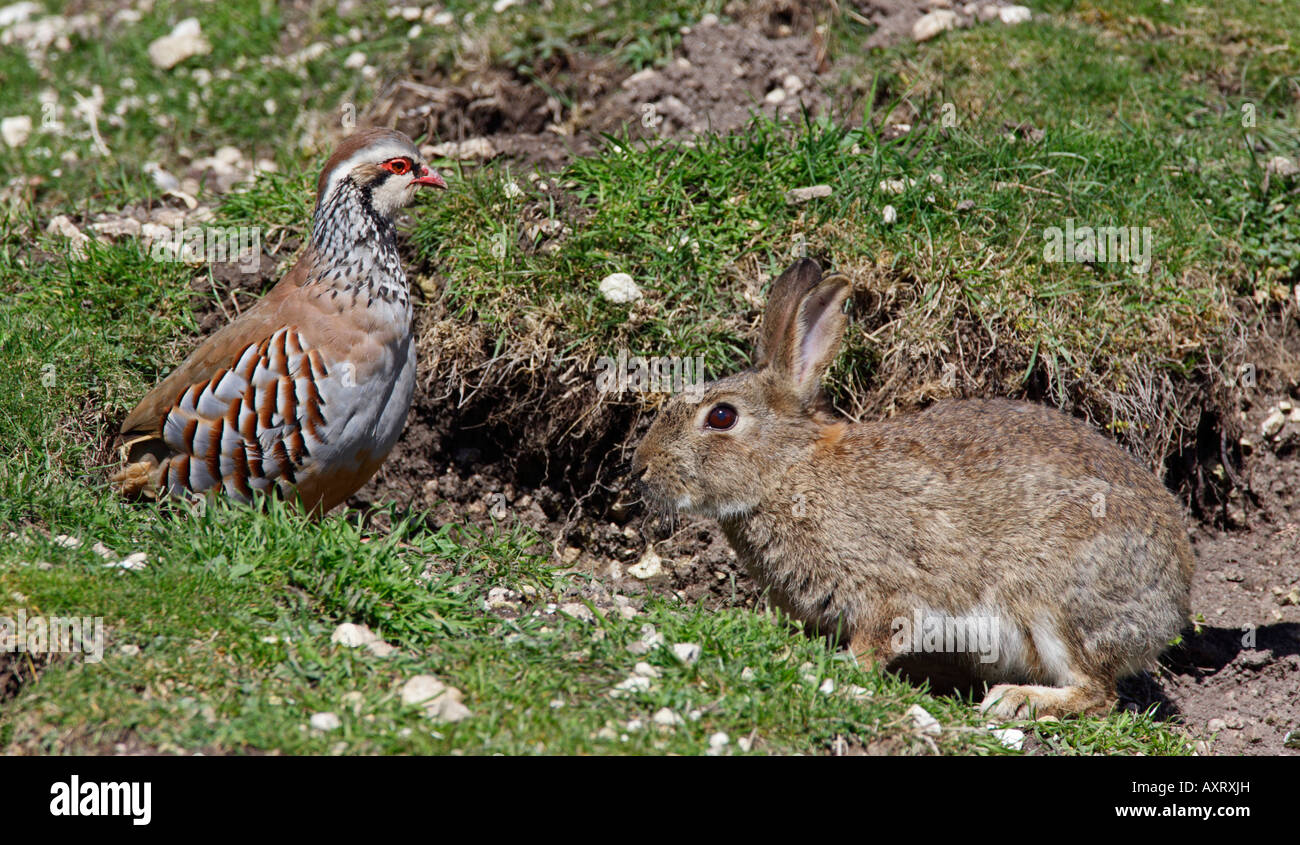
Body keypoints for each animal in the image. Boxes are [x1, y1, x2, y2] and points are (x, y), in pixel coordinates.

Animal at [631, 258, 1194, 719]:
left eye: (722, 417)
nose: (639, 467)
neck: (789, 470)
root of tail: (1172, 605)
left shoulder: (886, 587)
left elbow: (878, 637)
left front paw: (837, 669)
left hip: (1057, 602)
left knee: (1099, 693)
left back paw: (1016, 700)